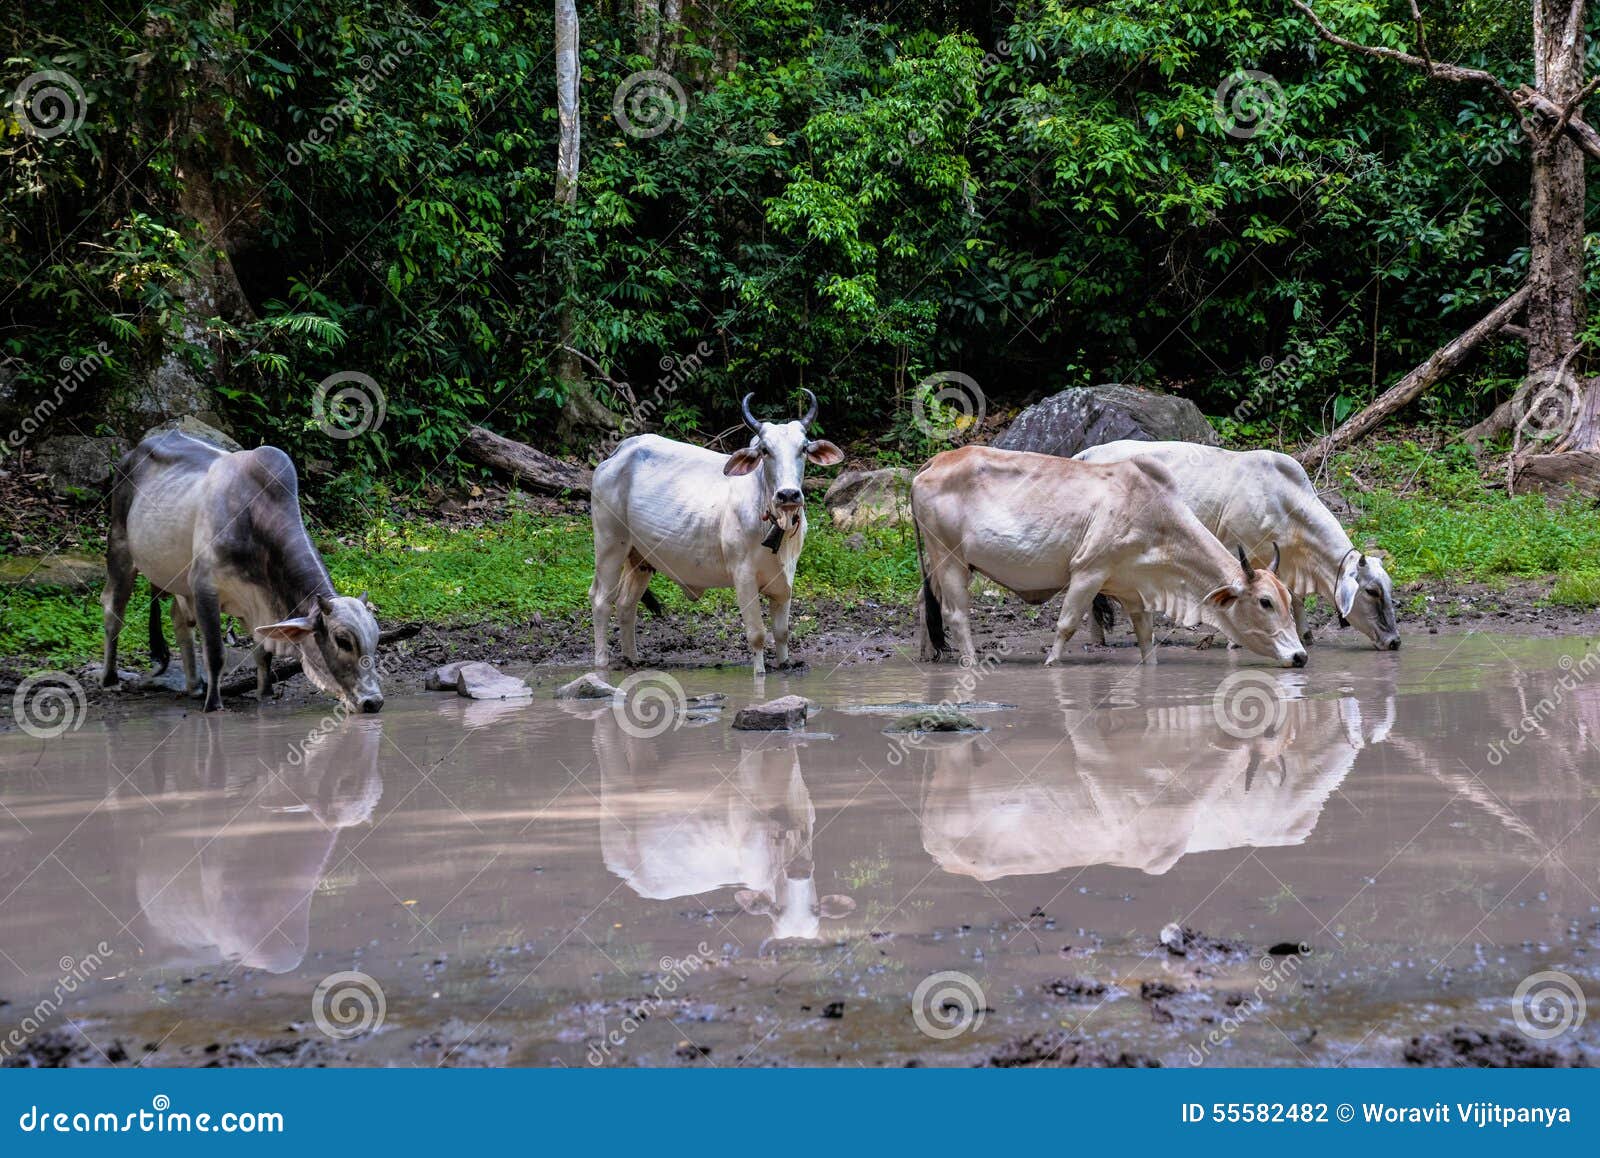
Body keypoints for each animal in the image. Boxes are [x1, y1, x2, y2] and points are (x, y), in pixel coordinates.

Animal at [102, 431, 383, 713]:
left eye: (375, 639)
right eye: (343, 641)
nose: (373, 702)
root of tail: (134, 452)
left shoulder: (253, 601)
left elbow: (262, 653)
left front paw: (265, 693)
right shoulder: (204, 588)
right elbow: (216, 654)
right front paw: (213, 704)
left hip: (179, 581)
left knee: (179, 620)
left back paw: (194, 686)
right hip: (120, 546)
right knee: (113, 611)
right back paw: (110, 679)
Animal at [589, 391, 843, 673]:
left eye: (803, 449)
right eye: (765, 450)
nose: (788, 494)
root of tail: (620, 451)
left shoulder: (785, 578)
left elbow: (781, 633)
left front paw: (785, 665)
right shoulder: (743, 576)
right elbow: (757, 634)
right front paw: (760, 674)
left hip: (640, 558)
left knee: (626, 604)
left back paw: (633, 659)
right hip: (610, 545)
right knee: (601, 600)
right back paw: (601, 663)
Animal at [911, 446, 1307, 667]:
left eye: (1288, 599)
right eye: (1265, 602)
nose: (1300, 656)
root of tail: (934, 461)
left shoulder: (1134, 588)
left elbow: (1146, 638)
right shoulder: (1088, 571)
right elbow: (1066, 625)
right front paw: (1051, 664)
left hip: (936, 561)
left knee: (924, 601)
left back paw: (928, 655)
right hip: (949, 558)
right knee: (957, 615)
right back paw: (969, 662)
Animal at [1074, 441, 1400, 649]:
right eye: (1372, 591)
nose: (1395, 641)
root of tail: (1086, 454)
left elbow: (1293, 596)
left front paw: (1304, 633)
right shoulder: (1233, 547)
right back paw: (1098, 640)